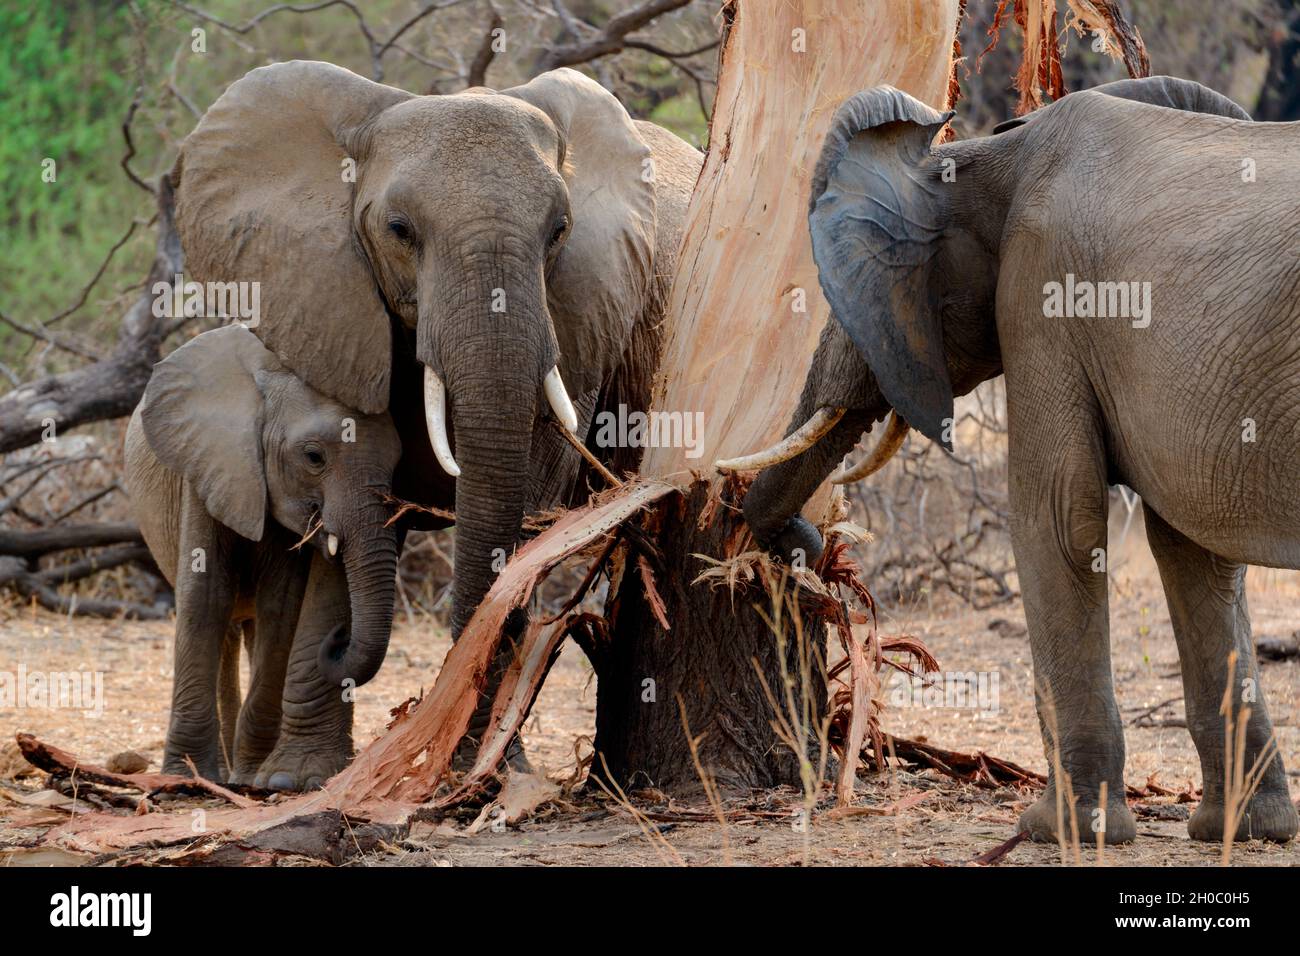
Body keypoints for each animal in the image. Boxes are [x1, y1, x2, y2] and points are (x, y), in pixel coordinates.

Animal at [124, 324, 401, 787]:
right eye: (314, 457)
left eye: (398, 463)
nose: (338, 637)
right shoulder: (208, 468)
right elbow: (205, 599)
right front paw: (183, 778)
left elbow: (281, 605)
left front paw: (253, 775)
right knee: (224, 628)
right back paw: (219, 772)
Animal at [169, 60, 702, 781]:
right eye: (399, 229)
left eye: (560, 230)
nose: (338, 648)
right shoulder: (328, 301)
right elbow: (351, 509)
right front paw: (300, 778)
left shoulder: (584, 311)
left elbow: (527, 491)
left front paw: (490, 771)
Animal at [732, 76, 1300, 844]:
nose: (821, 554)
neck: (991, 151)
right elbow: (1193, 552)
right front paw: (1239, 831)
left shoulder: (1044, 297)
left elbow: (1056, 518)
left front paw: (1058, 831)